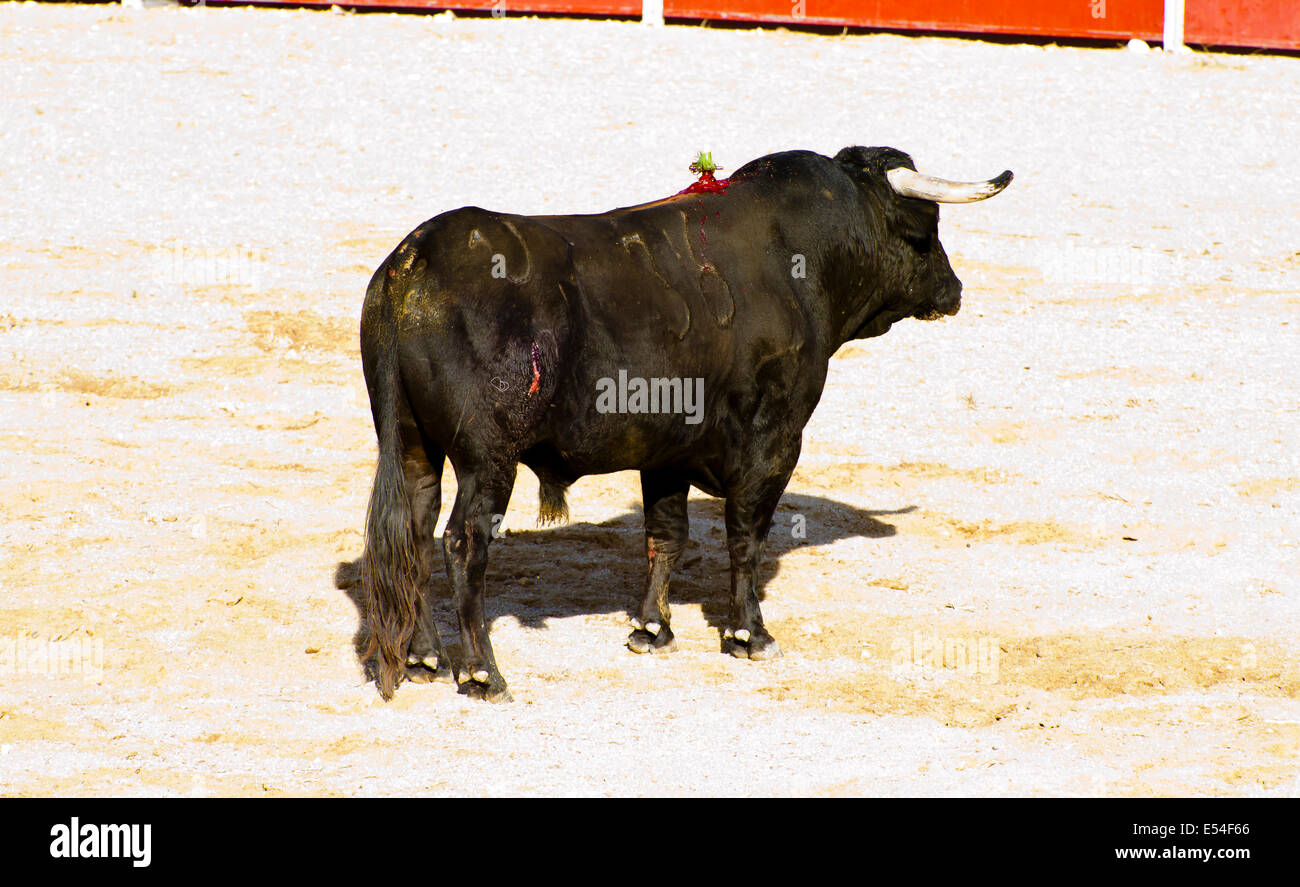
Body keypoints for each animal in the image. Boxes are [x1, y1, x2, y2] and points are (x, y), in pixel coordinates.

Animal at [358, 146, 1012, 701]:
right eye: (924, 230)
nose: (953, 290)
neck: (803, 258)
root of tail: (410, 266)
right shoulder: (774, 441)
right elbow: (746, 535)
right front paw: (750, 634)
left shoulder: (665, 449)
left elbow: (666, 535)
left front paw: (651, 629)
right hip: (486, 457)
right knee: (464, 541)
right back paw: (481, 672)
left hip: (413, 444)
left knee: (413, 533)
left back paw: (422, 658)